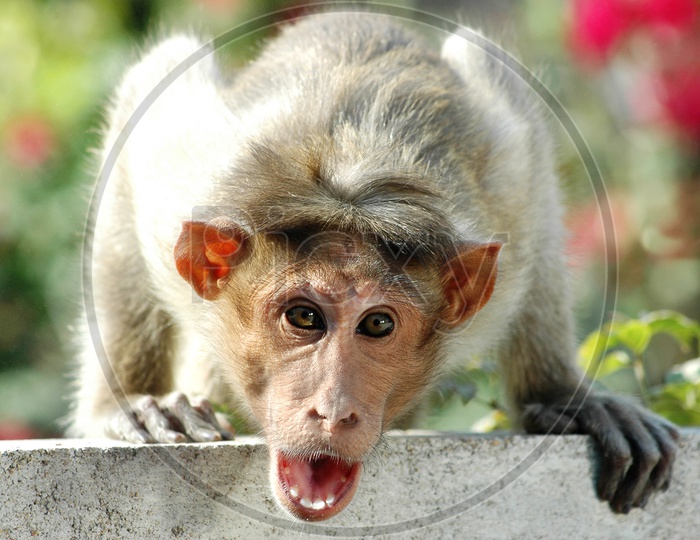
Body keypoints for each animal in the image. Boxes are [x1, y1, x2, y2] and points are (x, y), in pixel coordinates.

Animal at [69, 12, 678, 521]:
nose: (335, 413)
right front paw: (128, 405)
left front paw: (560, 394)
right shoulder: (182, 169)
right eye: (303, 317)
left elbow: (524, 132)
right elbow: (147, 95)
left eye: (378, 324)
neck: (345, 162)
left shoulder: (508, 183)